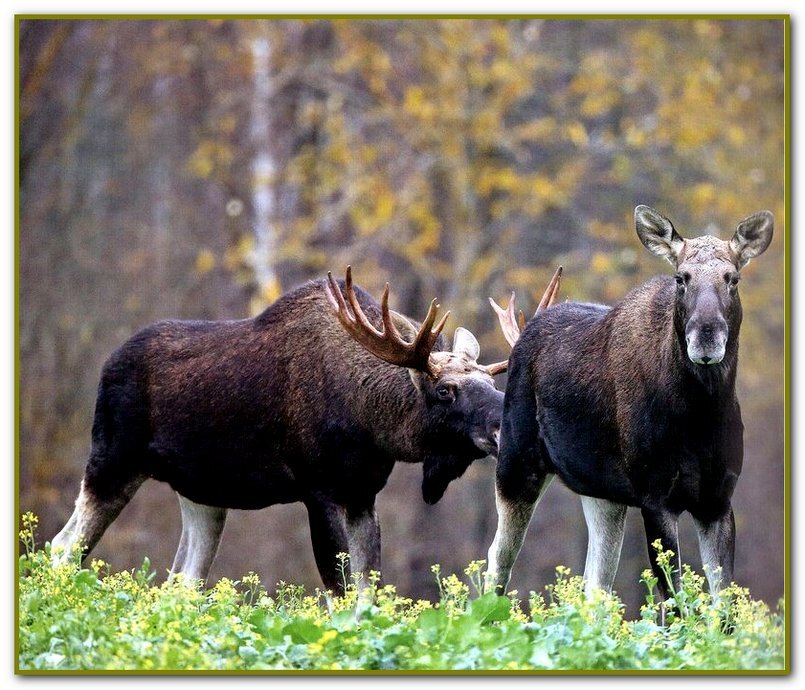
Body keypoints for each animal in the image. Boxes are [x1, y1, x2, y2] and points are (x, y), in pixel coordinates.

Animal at [48, 266, 560, 588]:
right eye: (446, 391)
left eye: (487, 382)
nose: (505, 429)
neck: (376, 425)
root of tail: (107, 365)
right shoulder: (320, 491)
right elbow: (340, 593)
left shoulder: (361, 495)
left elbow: (370, 592)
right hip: (113, 460)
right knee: (63, 546)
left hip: (202, 495)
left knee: (181, 580)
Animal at [484, 206, 772, 612]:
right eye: (681, 278)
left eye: (733, 278)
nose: (706, 335)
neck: (700, 418)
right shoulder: (655, 496)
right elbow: (675, 605)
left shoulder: (718, 497)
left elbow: (724, 608)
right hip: (516, 464)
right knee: (497, 560)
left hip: (602, 494)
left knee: (595, 585)